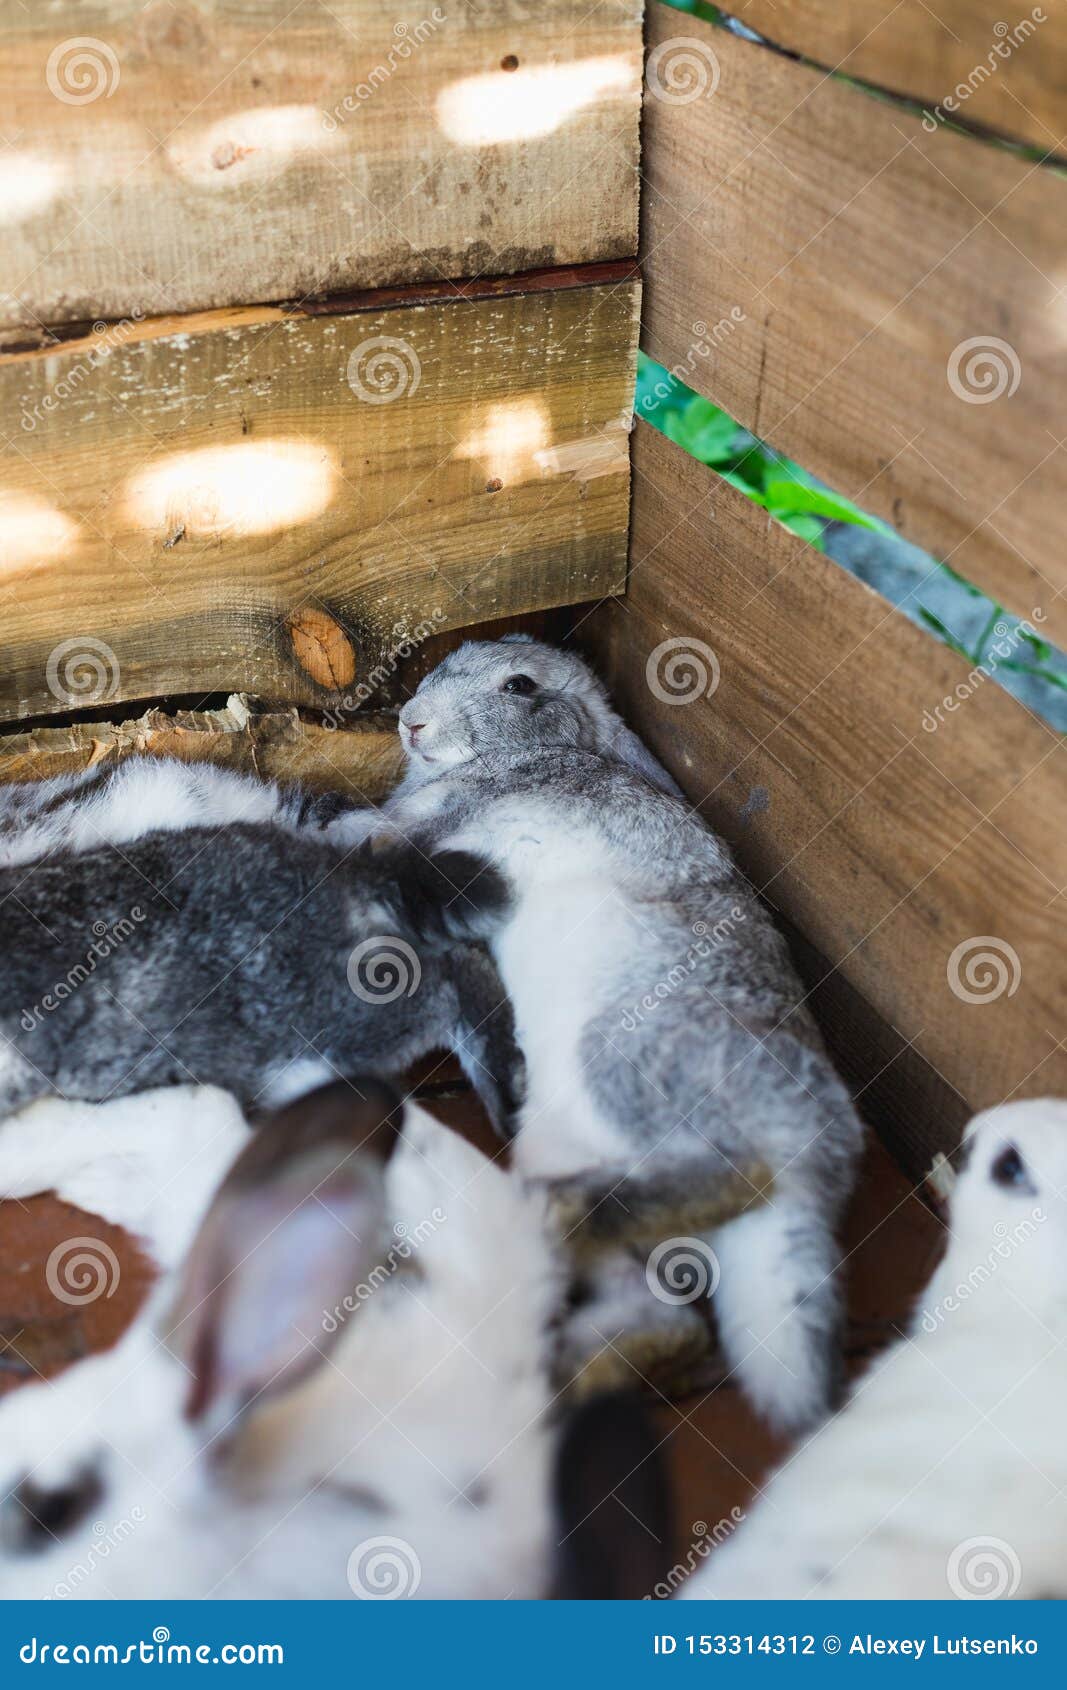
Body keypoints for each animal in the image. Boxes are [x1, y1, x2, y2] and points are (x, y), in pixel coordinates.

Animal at [330, 636, 864, 1433]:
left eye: (519, 686)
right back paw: (559, 1369)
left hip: (628, 1060)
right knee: (670, 1320)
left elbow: (369, 832)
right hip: (570, 1151)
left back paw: (564, 1220)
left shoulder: (438, 817)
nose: (412, 722)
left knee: (745, 1170)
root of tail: (820, 1163)